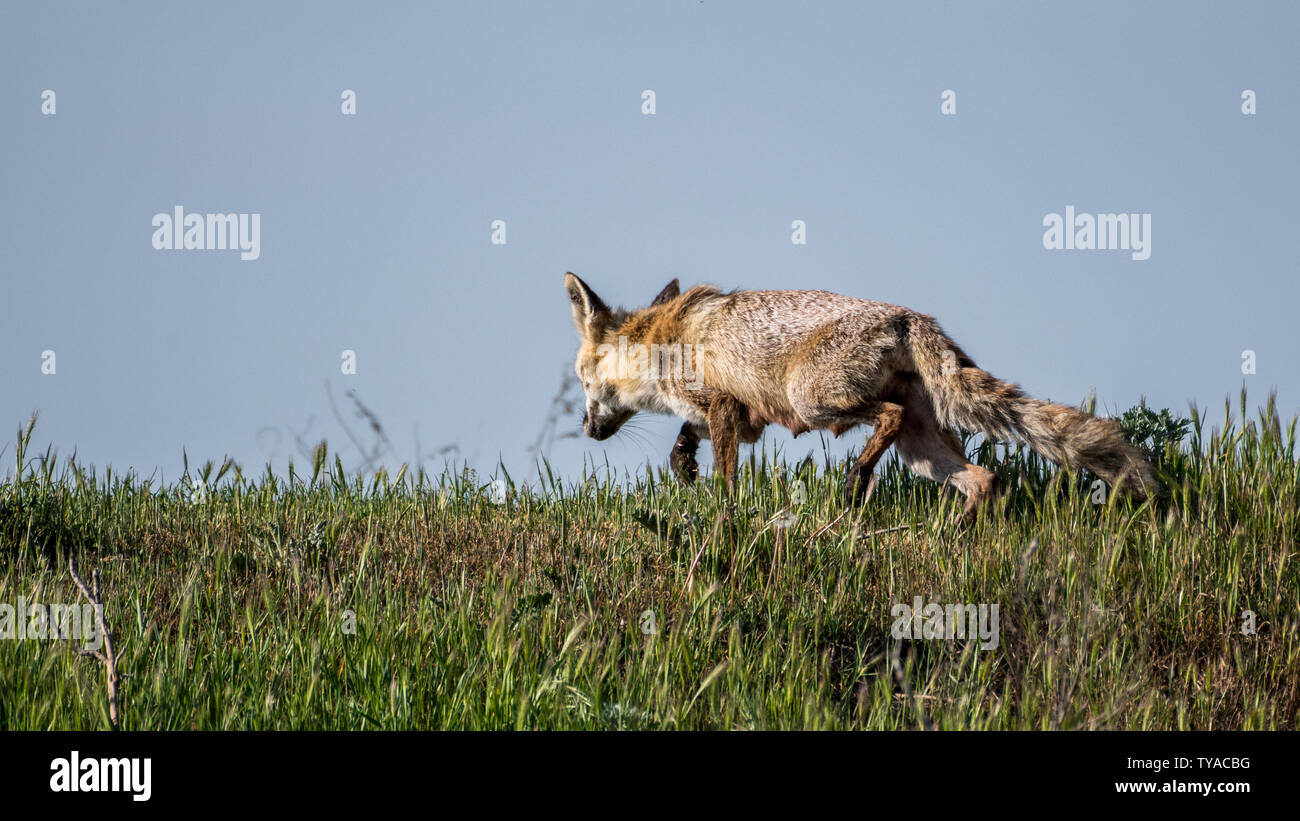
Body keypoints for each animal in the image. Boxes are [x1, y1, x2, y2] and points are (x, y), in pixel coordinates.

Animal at [564, 272, 1158, 519]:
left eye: (582, 384)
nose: (586, 431)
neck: (663, 343)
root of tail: (912, 316)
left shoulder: (725, 408)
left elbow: (726, 481)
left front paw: (721, 514)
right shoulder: (744, 416)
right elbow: (687, 438)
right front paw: (683, 461)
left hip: (813, 399)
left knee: (888, 417)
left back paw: (856, 482)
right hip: (922, 453)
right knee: (985, 480)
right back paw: (956, 538)